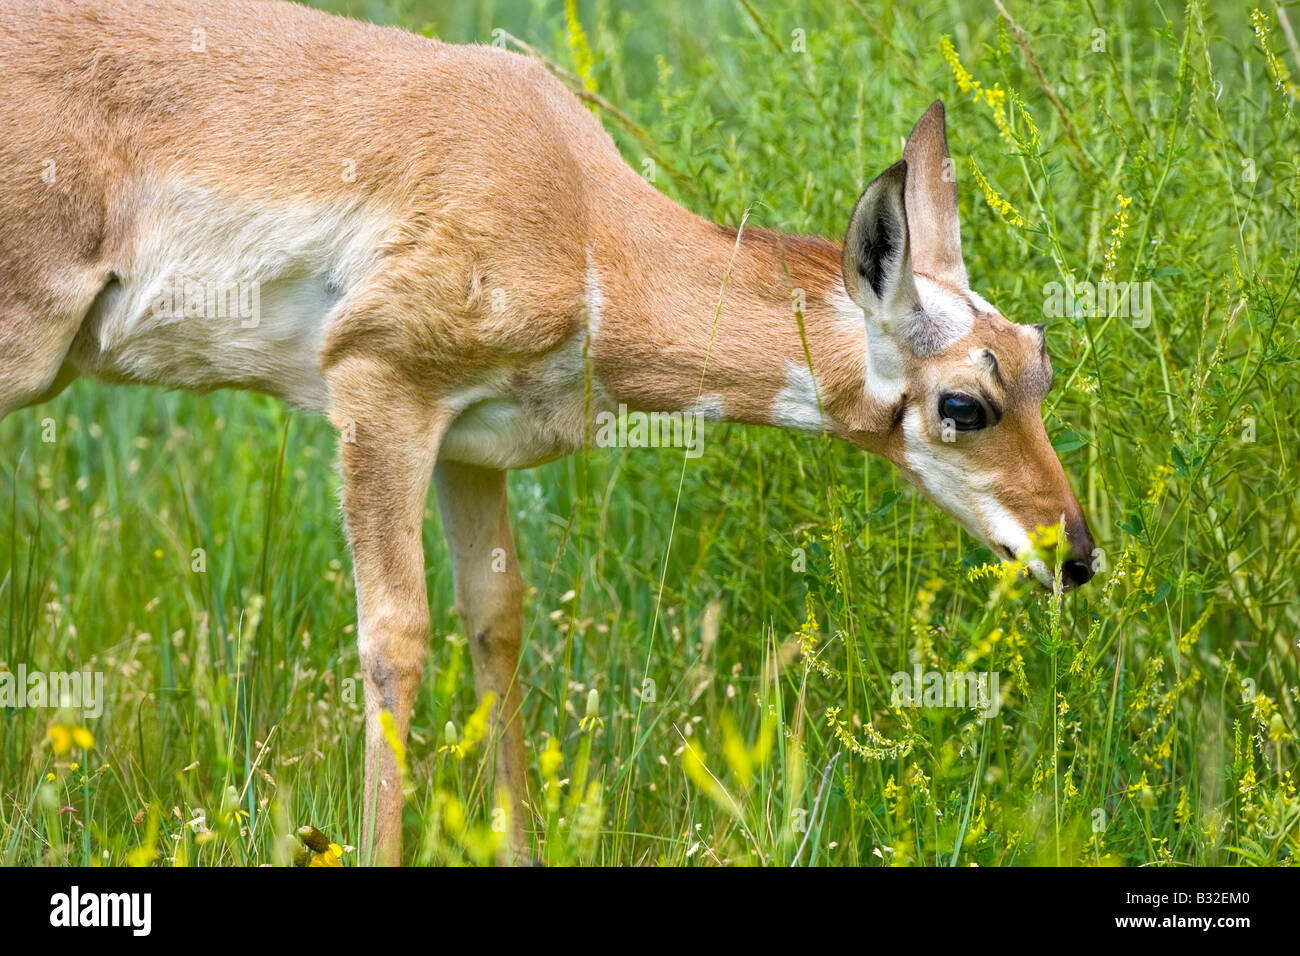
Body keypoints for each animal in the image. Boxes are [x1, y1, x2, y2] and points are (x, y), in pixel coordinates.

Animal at [0, 0, 1096, 865]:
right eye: (964, 403)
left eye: (1041, 360)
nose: (1076, 554)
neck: (579, 213)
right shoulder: (381, 392)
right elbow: (397, 637)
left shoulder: (469, 448)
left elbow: (496, 623)